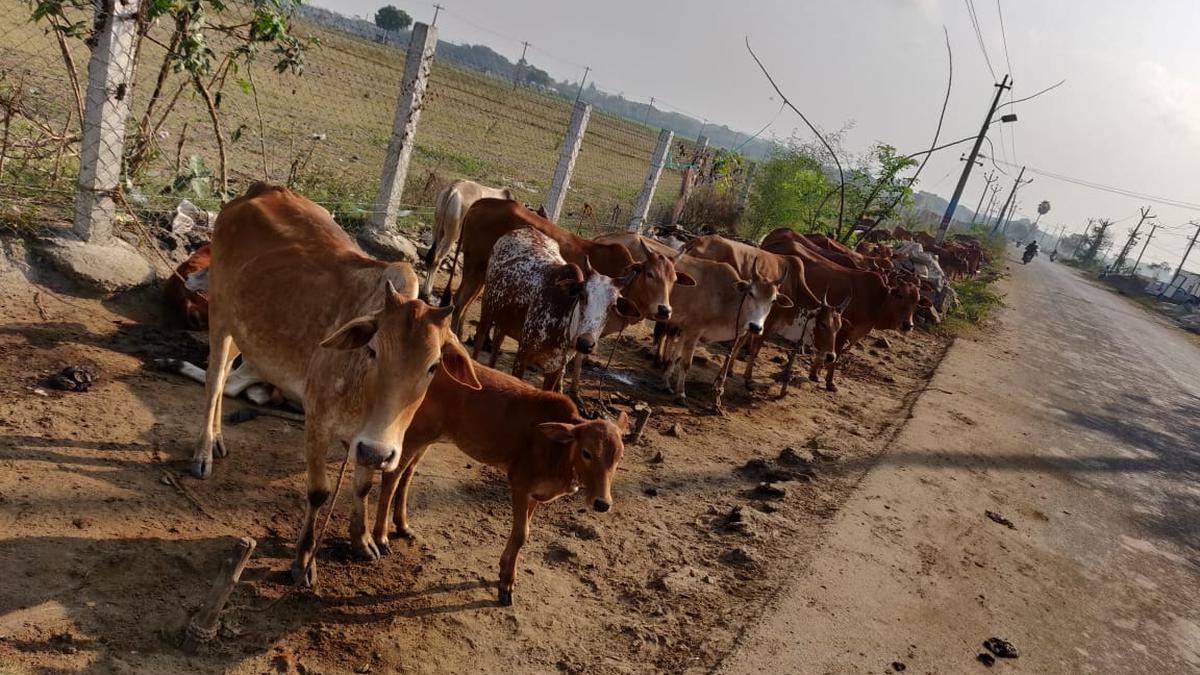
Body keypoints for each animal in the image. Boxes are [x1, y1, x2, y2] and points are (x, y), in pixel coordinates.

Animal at [196, 183, 482, 585]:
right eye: (372, 350)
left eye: (434, 366)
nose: (377, 450)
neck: (362, 394)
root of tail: (261, 189)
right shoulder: (317, 422)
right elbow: (319, 492)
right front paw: (303, 561)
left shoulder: (370, 444)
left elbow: (363, 485)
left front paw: (362, 542)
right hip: (219, 314)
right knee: (212, 380)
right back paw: (204, 452)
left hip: (244, 330)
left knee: (223, 379)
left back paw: (219, 439)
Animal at [373, 364, 628, 606]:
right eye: (587, 453)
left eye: (619, 458)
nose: (602, 503)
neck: (559, 451)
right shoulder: (521, 484)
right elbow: (521, 534)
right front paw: (506, 585)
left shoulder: (537, 494)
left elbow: (523, 534)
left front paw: (505, 571)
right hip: (415, 433)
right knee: (393, 475)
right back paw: (380, 537)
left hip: (428, 437)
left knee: (408, 474)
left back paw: (402, 525)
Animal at [472, 227, 640, 390]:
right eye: (583, 296)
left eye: (612, 306)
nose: (585, 343)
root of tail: (519, 230)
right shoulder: (522, 355)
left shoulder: (555, 369)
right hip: (487, 308)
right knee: (479, 341)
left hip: (503, 321)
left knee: (496, 345)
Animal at [655, 254, 791, 409]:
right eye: (751, 293)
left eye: (773, 300)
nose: (755, 327)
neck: (725, 299)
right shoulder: (694, 330)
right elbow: (686, 363)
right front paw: (681, 394)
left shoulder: (685, 329)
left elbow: (675, 357)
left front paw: (665, 384)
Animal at [760, 227, 931, 391]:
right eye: (900, 295)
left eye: (917, 302)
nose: (907, 325)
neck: (878, 300)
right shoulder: (843, 331)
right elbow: (834, 355)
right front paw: (829, 382)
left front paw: (815, 374)